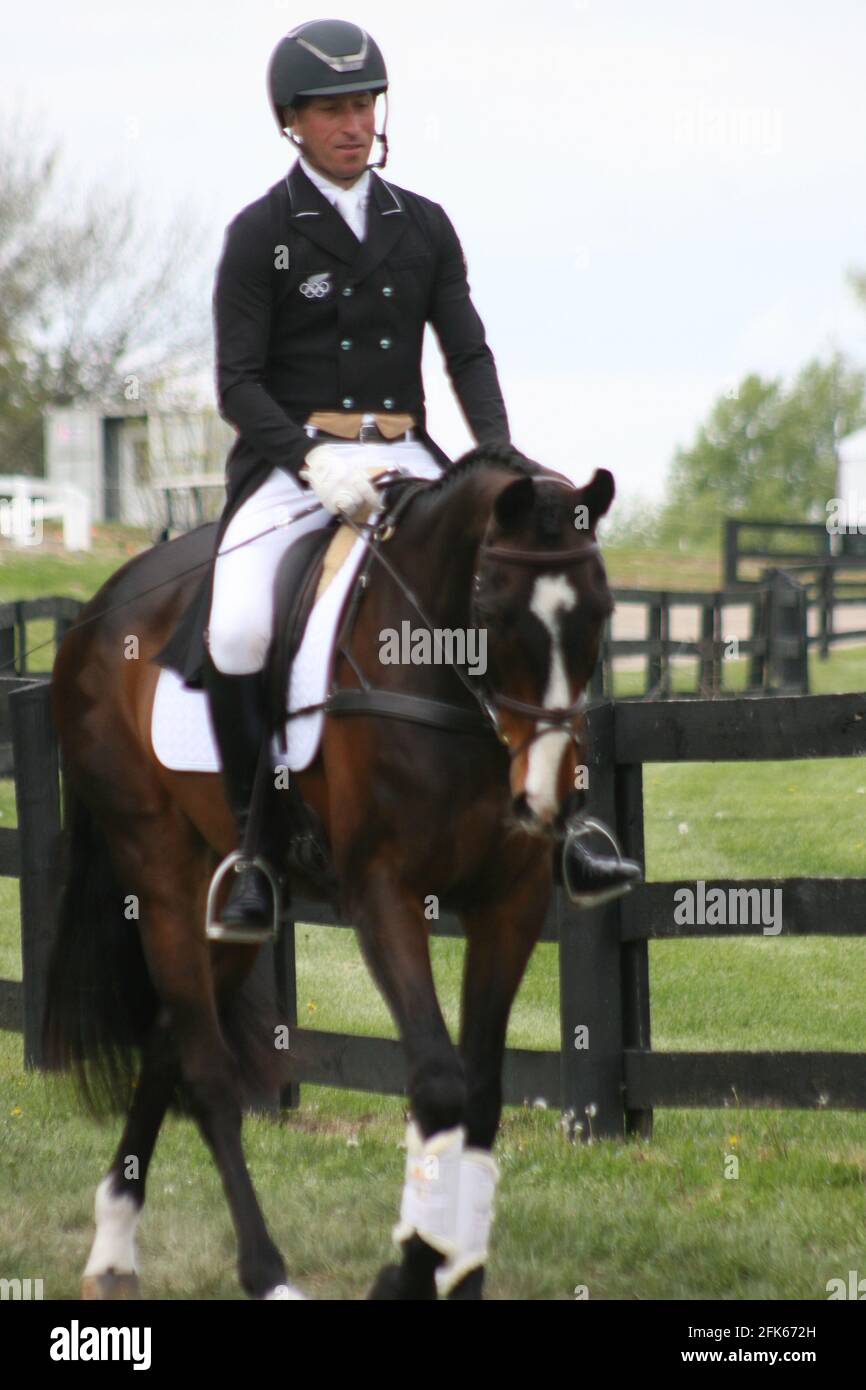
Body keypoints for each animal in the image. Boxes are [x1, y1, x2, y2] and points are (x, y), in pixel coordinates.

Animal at [43, 443, 615, 1300]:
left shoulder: (507, 903)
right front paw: (409, 1269)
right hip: (160, 871)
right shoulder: (384, 894)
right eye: (496, 614)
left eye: (602, 613)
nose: (544, 800)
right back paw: (266, 1272)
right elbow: (438, 1084)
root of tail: (98, 609)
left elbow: (480, 1094)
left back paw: (113, 1245)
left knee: (169, 1041)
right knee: (206, 1071)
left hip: (224, 901)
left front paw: (458, 1267)